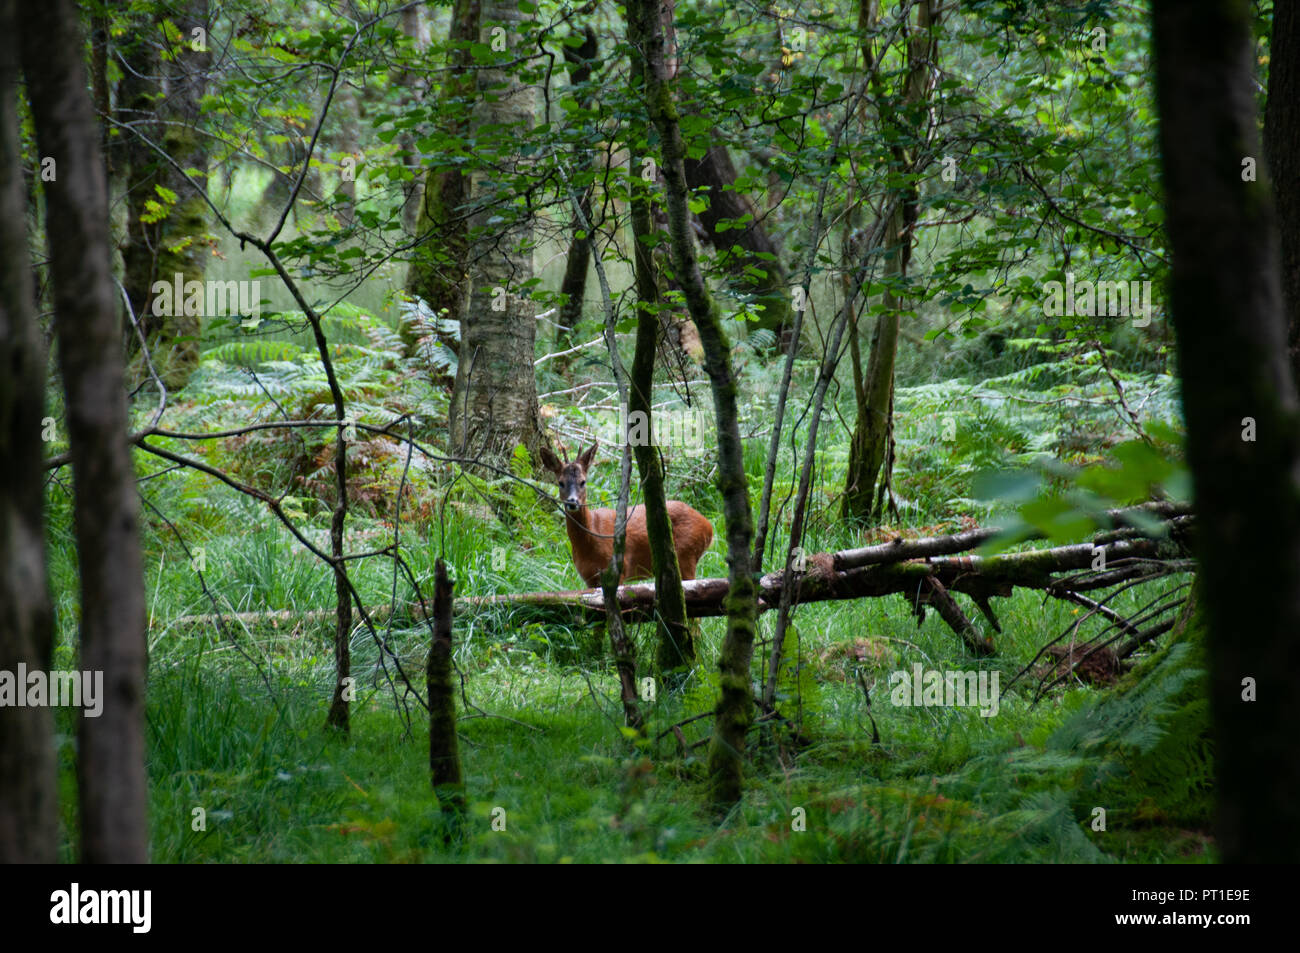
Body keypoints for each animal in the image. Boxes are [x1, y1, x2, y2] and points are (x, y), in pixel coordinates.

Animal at [539, 440, 714, 588]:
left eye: (583, 482)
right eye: (560, 483)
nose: (572, 502)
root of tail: (708, 526)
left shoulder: (619, 571)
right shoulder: (589, 578)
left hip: (687, 555)